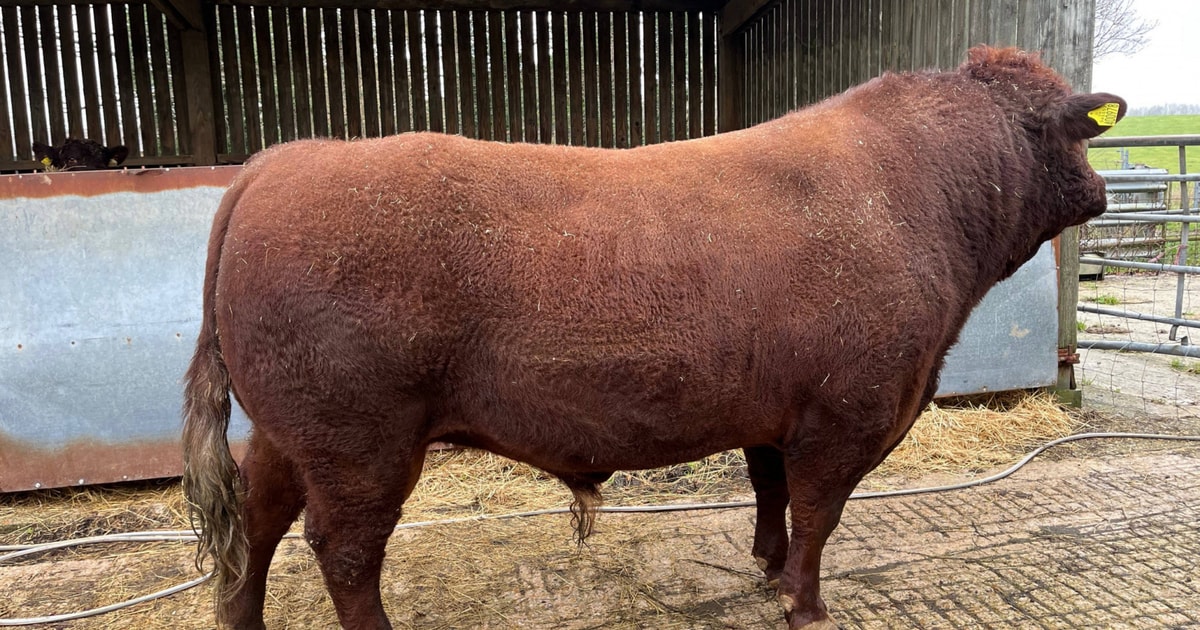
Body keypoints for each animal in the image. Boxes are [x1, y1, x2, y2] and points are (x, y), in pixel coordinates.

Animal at [182, 45, 1124, 629]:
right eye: (1078, 130)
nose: (1101, 192)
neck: (915, 196)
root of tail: (280, 161)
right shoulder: (849, 411)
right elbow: (820, 510)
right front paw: (807, 605)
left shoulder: (775, 411)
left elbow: (773, 494)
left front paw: (766, 568)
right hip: (360, 439)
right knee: (342, 551)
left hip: (289, 430)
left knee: (256, 524)